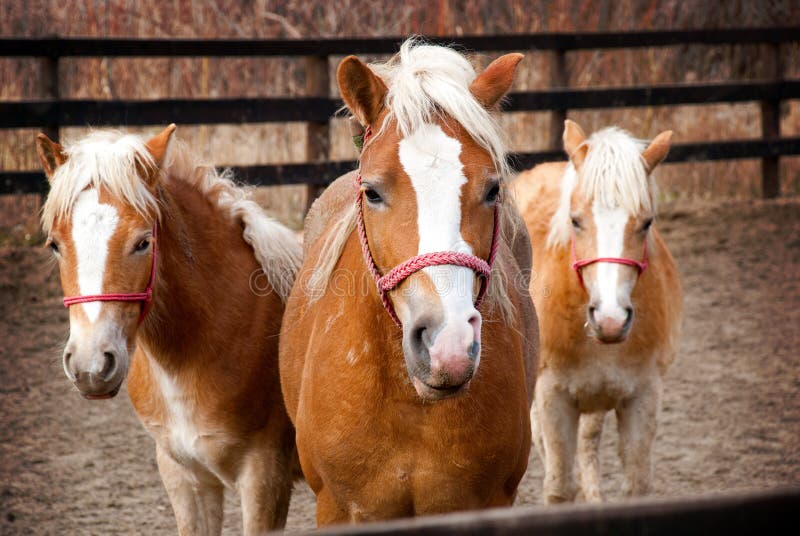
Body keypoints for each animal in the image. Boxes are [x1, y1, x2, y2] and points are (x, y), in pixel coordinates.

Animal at [511, 120, 682, 503]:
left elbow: (635, 484)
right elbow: (559, 485)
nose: (610, 319)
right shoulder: (553, 396)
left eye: (646, 223)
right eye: (575, 221)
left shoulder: (643, 395)